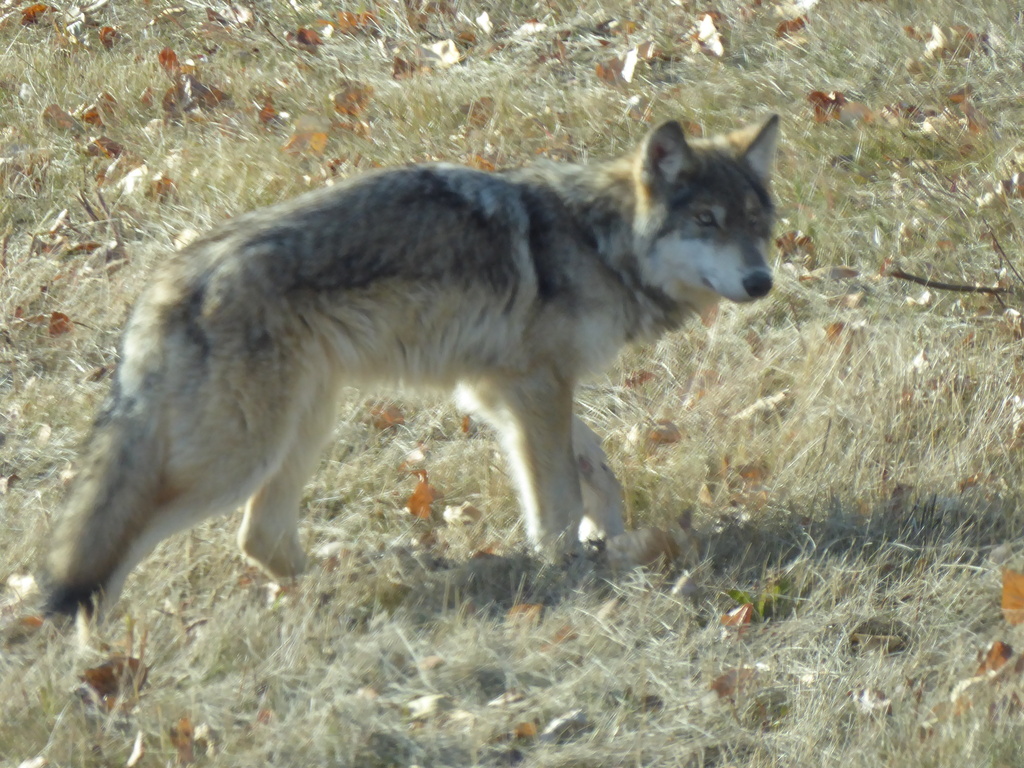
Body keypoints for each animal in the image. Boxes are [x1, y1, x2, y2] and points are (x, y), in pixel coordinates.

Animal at [44, 114, 779, 616]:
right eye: (708, 222)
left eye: (758, 225)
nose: (762, 282)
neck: (599, 240)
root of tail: (171, 278)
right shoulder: (536, 388)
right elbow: (558, 497)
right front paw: (567, 569)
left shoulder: (511, 391)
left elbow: (595, 468)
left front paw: (613, 538)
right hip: (238, 457)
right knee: (116, 548)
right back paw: (95, 658)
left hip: (301, 429)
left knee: (259, 539)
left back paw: (337, 597)